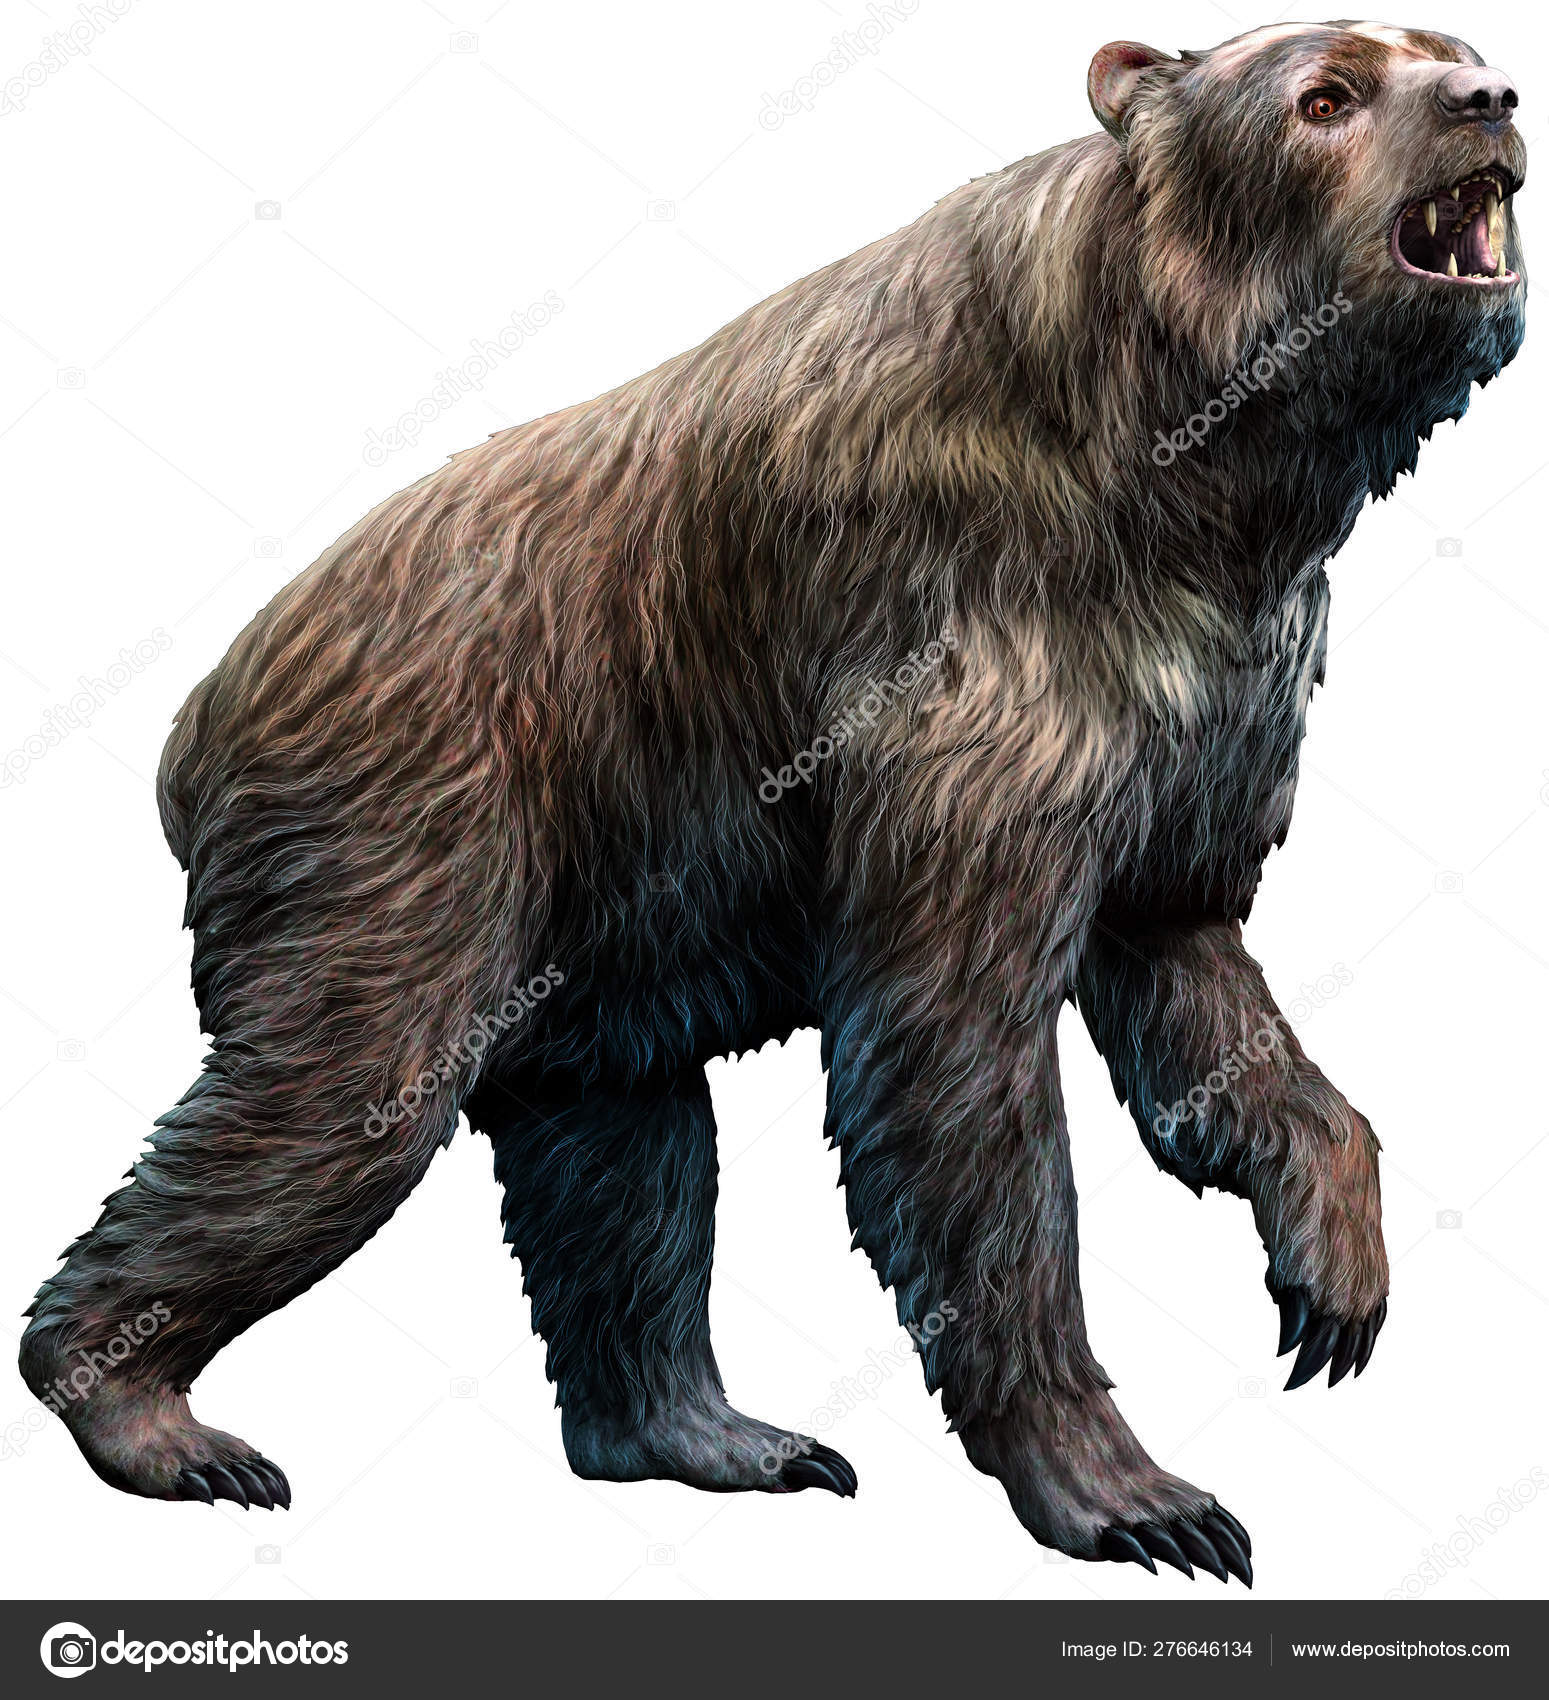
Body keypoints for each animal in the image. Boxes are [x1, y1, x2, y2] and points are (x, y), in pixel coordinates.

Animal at [21, 20, 1525, 1583]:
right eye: (1326, 94)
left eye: (1446, 47)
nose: (1488, 98)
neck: (1194, 463)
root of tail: (196, 714)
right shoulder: (959, 654)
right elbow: (955, 1058)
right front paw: (1137, 1493)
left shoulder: (1207, 698)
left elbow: (1191, 974)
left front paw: (1334, 1274)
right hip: (412, 815)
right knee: (339, 1104)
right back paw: (156, 1417)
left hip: (591, 921)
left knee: (622, 1160)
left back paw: (720, 1433)